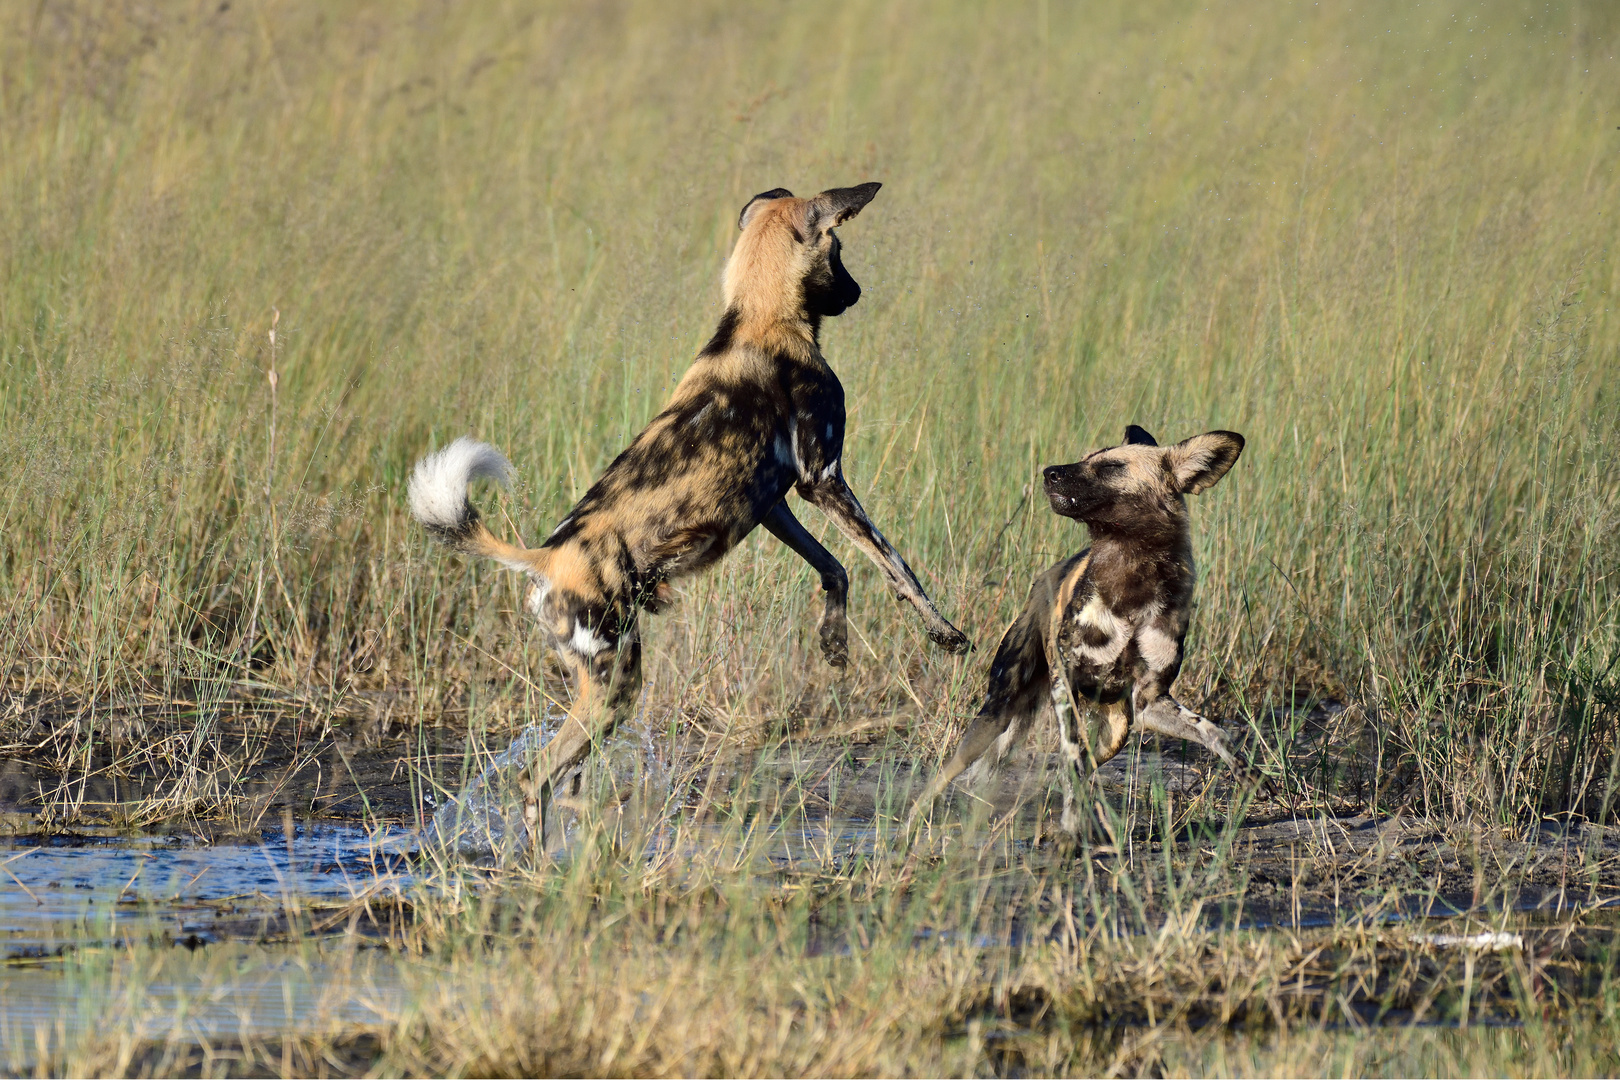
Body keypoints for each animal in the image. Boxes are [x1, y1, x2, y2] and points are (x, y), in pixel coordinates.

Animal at [411, 183, 965, 841]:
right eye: (840, 252)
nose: (856, 291)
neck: (760, 315)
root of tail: (544, 558)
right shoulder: (822, 479)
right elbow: (896, 565)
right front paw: (946, 633)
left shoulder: (772, 502)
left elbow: (836, 567)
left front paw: (834, 644)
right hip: (617, 680)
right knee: (534, 778)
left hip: (600, 685)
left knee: (561, 780)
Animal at [913, 427, 1237, 841]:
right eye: (1085, 458)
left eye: (1112, 466)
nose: (1049, 472)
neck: (1132, 584)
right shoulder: (1064, 682)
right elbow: (1071, 762)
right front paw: (1069, 828)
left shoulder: (1152, 701)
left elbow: (1216, 734)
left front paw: (1255, 778)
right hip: (996, 713)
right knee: (953, 771)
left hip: (1116, 731)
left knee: (1082, 763)